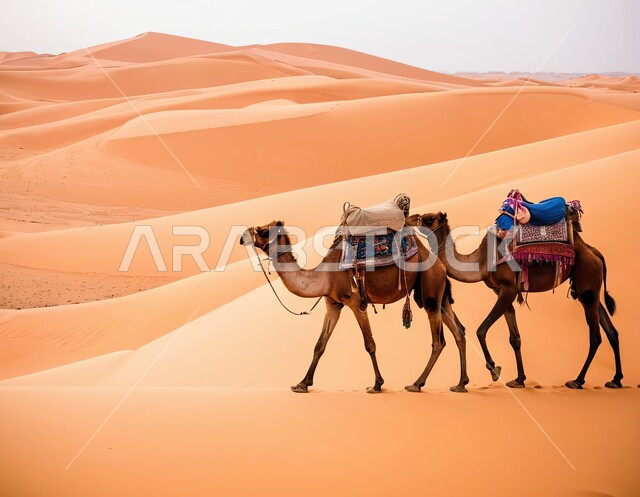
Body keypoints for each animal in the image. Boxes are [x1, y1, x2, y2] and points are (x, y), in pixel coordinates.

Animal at [239, 220, 469, 393]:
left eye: (263, 230)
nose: (242, 236)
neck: (323, 275)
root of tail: (439, 264)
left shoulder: (355, 302)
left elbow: (370, 344)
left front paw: (377, 384)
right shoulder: (333, 304)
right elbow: (319, 345)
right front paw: (302, 384)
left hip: (430, 290)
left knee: (439, 341)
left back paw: (416, 384)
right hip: (437, 295)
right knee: (459, 332)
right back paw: (460, 384)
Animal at [407, 211, 623, 389]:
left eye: (428, 218)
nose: (409, 218)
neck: (482, 261)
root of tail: (595, 253)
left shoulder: (509, 289)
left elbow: (481, 330)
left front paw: (494, 369)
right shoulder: (500, 291)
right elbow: (515, 337)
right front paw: (519, 379)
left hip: (587, 284)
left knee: (595, 337)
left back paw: (577, 381)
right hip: (589, 289)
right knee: (611, 330)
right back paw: (615, 380)